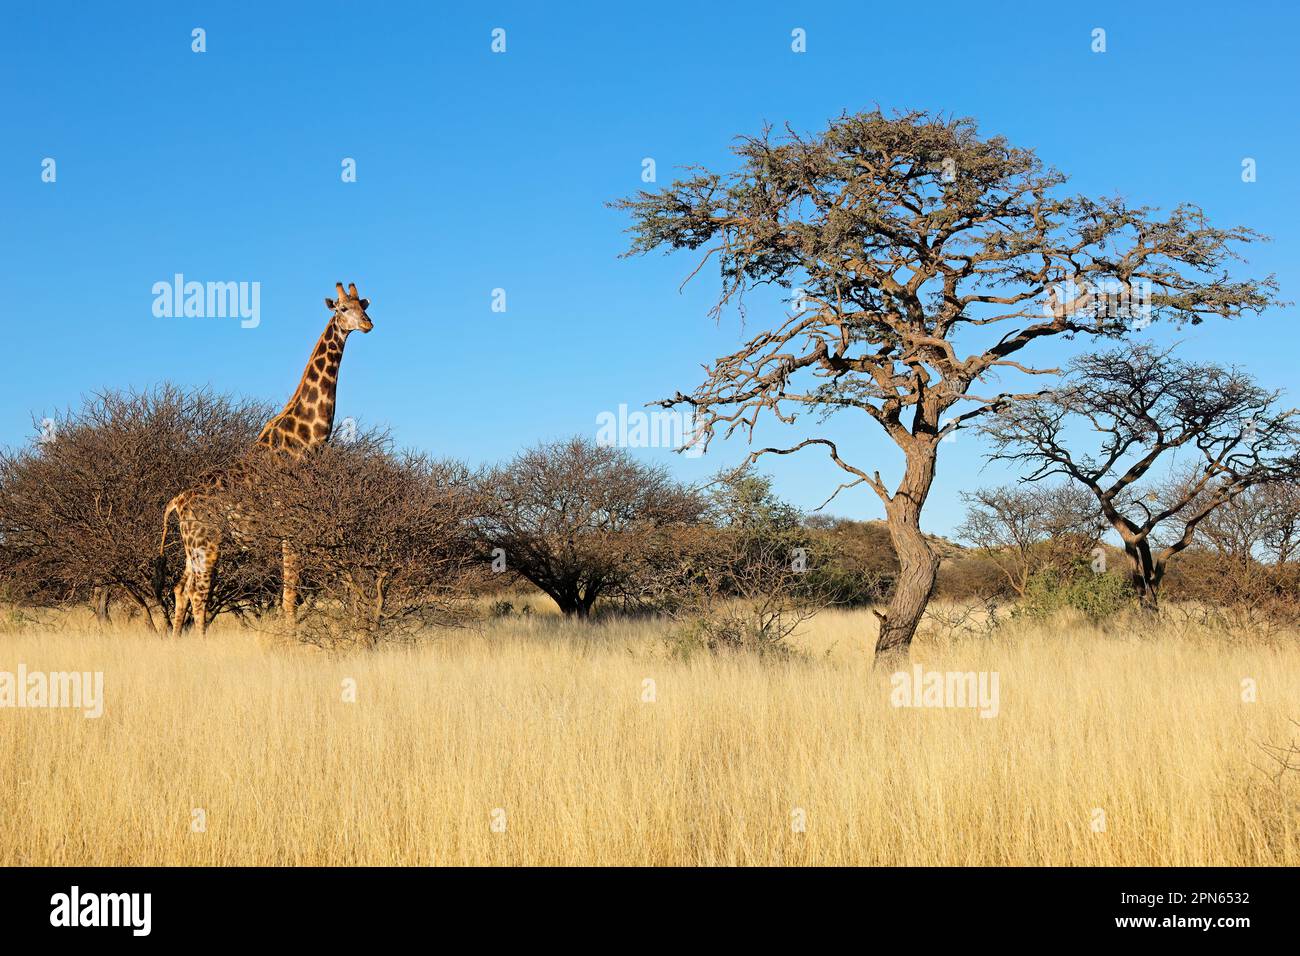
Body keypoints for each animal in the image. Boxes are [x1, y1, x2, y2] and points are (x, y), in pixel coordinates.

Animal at [158, 282, 374, 636]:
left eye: (364, 305)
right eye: (342, 309)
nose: (368, 324)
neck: (307, 441)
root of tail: (177, 501)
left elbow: (292, 594)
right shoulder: (293, 528)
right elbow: (289, 596)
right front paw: (290, 640)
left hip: (193, 545)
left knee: (180, 588)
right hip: (206, 540)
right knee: (197, 592)